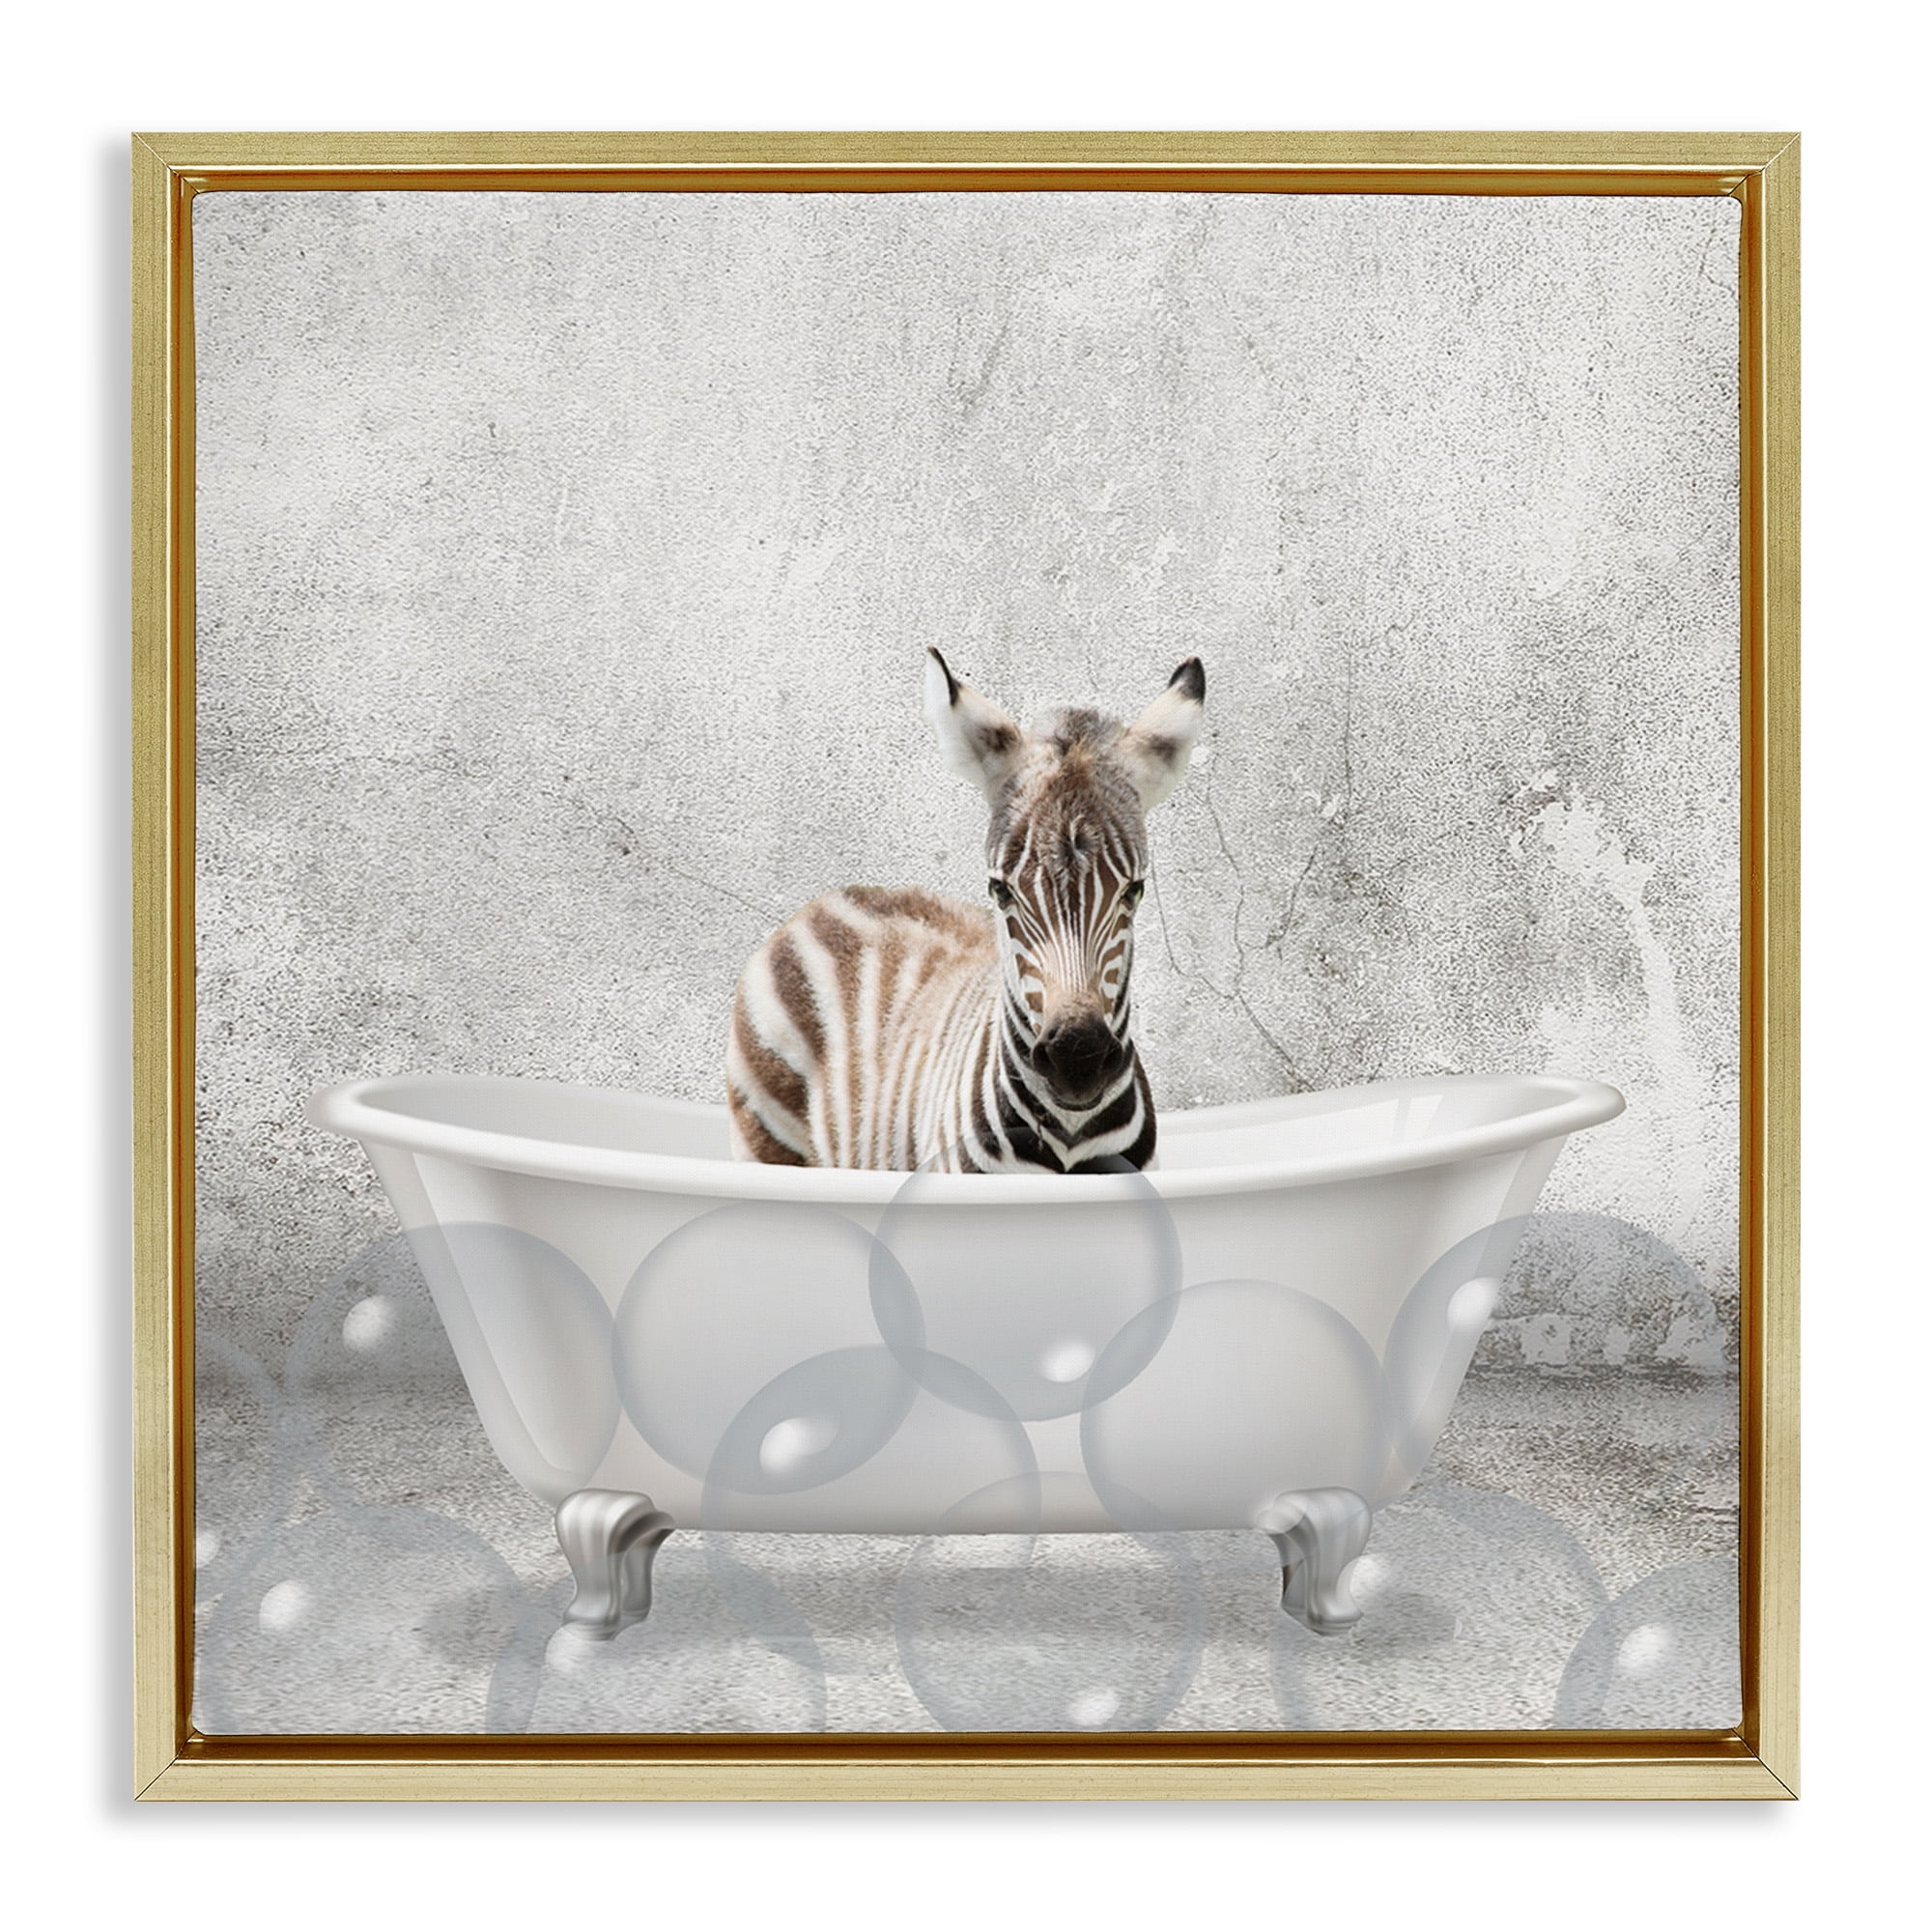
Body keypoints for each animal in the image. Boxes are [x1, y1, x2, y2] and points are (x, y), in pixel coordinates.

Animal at [726, 650, 1205, 1173]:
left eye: (1134, 891)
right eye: (1000, 891)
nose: (1076, 1060)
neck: (1070, 1134)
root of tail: (826, 899)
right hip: (767, 1136)